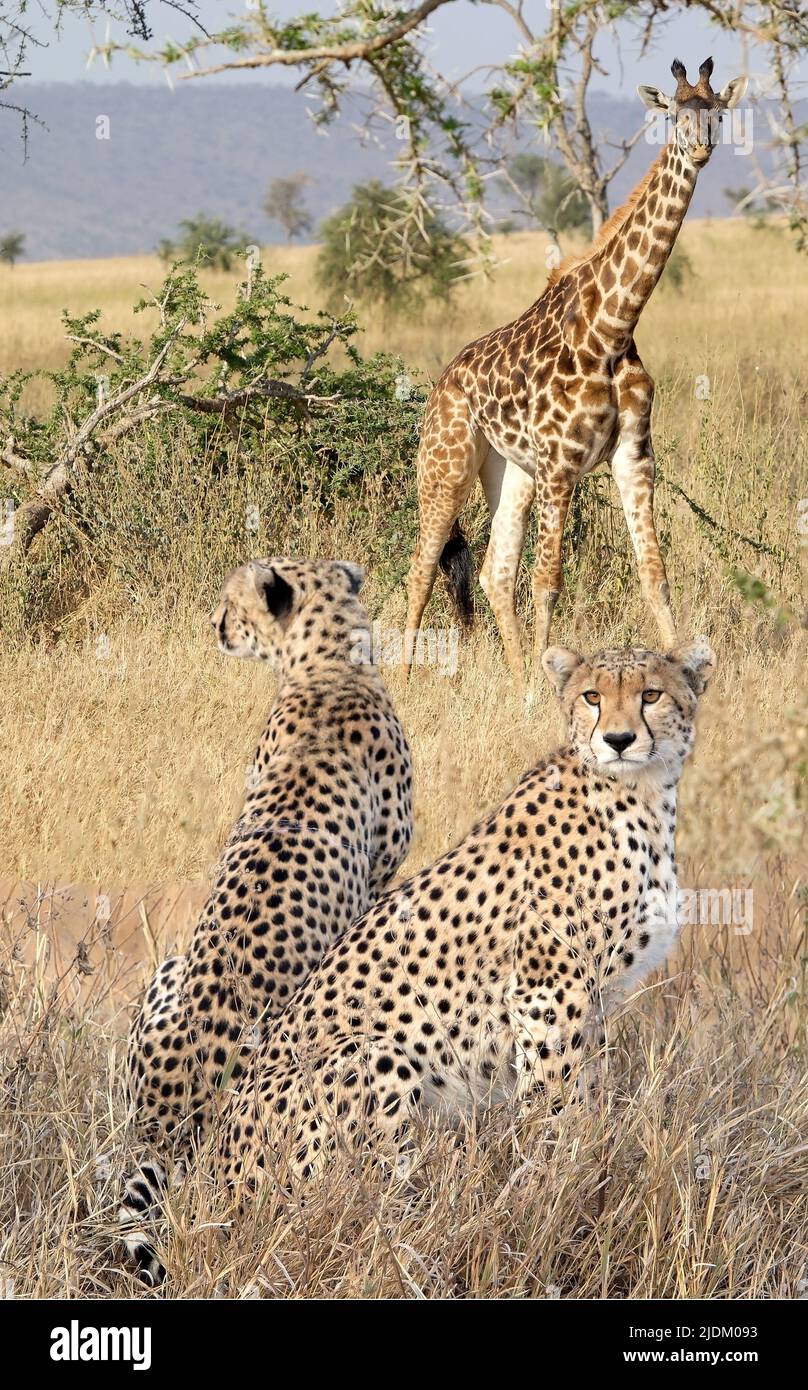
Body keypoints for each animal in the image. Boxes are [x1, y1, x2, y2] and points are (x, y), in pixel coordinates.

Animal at [403, 57, 747, 695]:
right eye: (673, 113)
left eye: (717, 112)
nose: (700, 148)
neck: (612, 327)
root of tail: (440, 384)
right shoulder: (561, 464)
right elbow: (549, 581)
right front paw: (554, 688)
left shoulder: (633, 455)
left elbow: (653, 573)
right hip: (446, 465)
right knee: (424, 563)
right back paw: (410, 677)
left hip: (509, 470)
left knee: (493, 571)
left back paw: (517, 679)